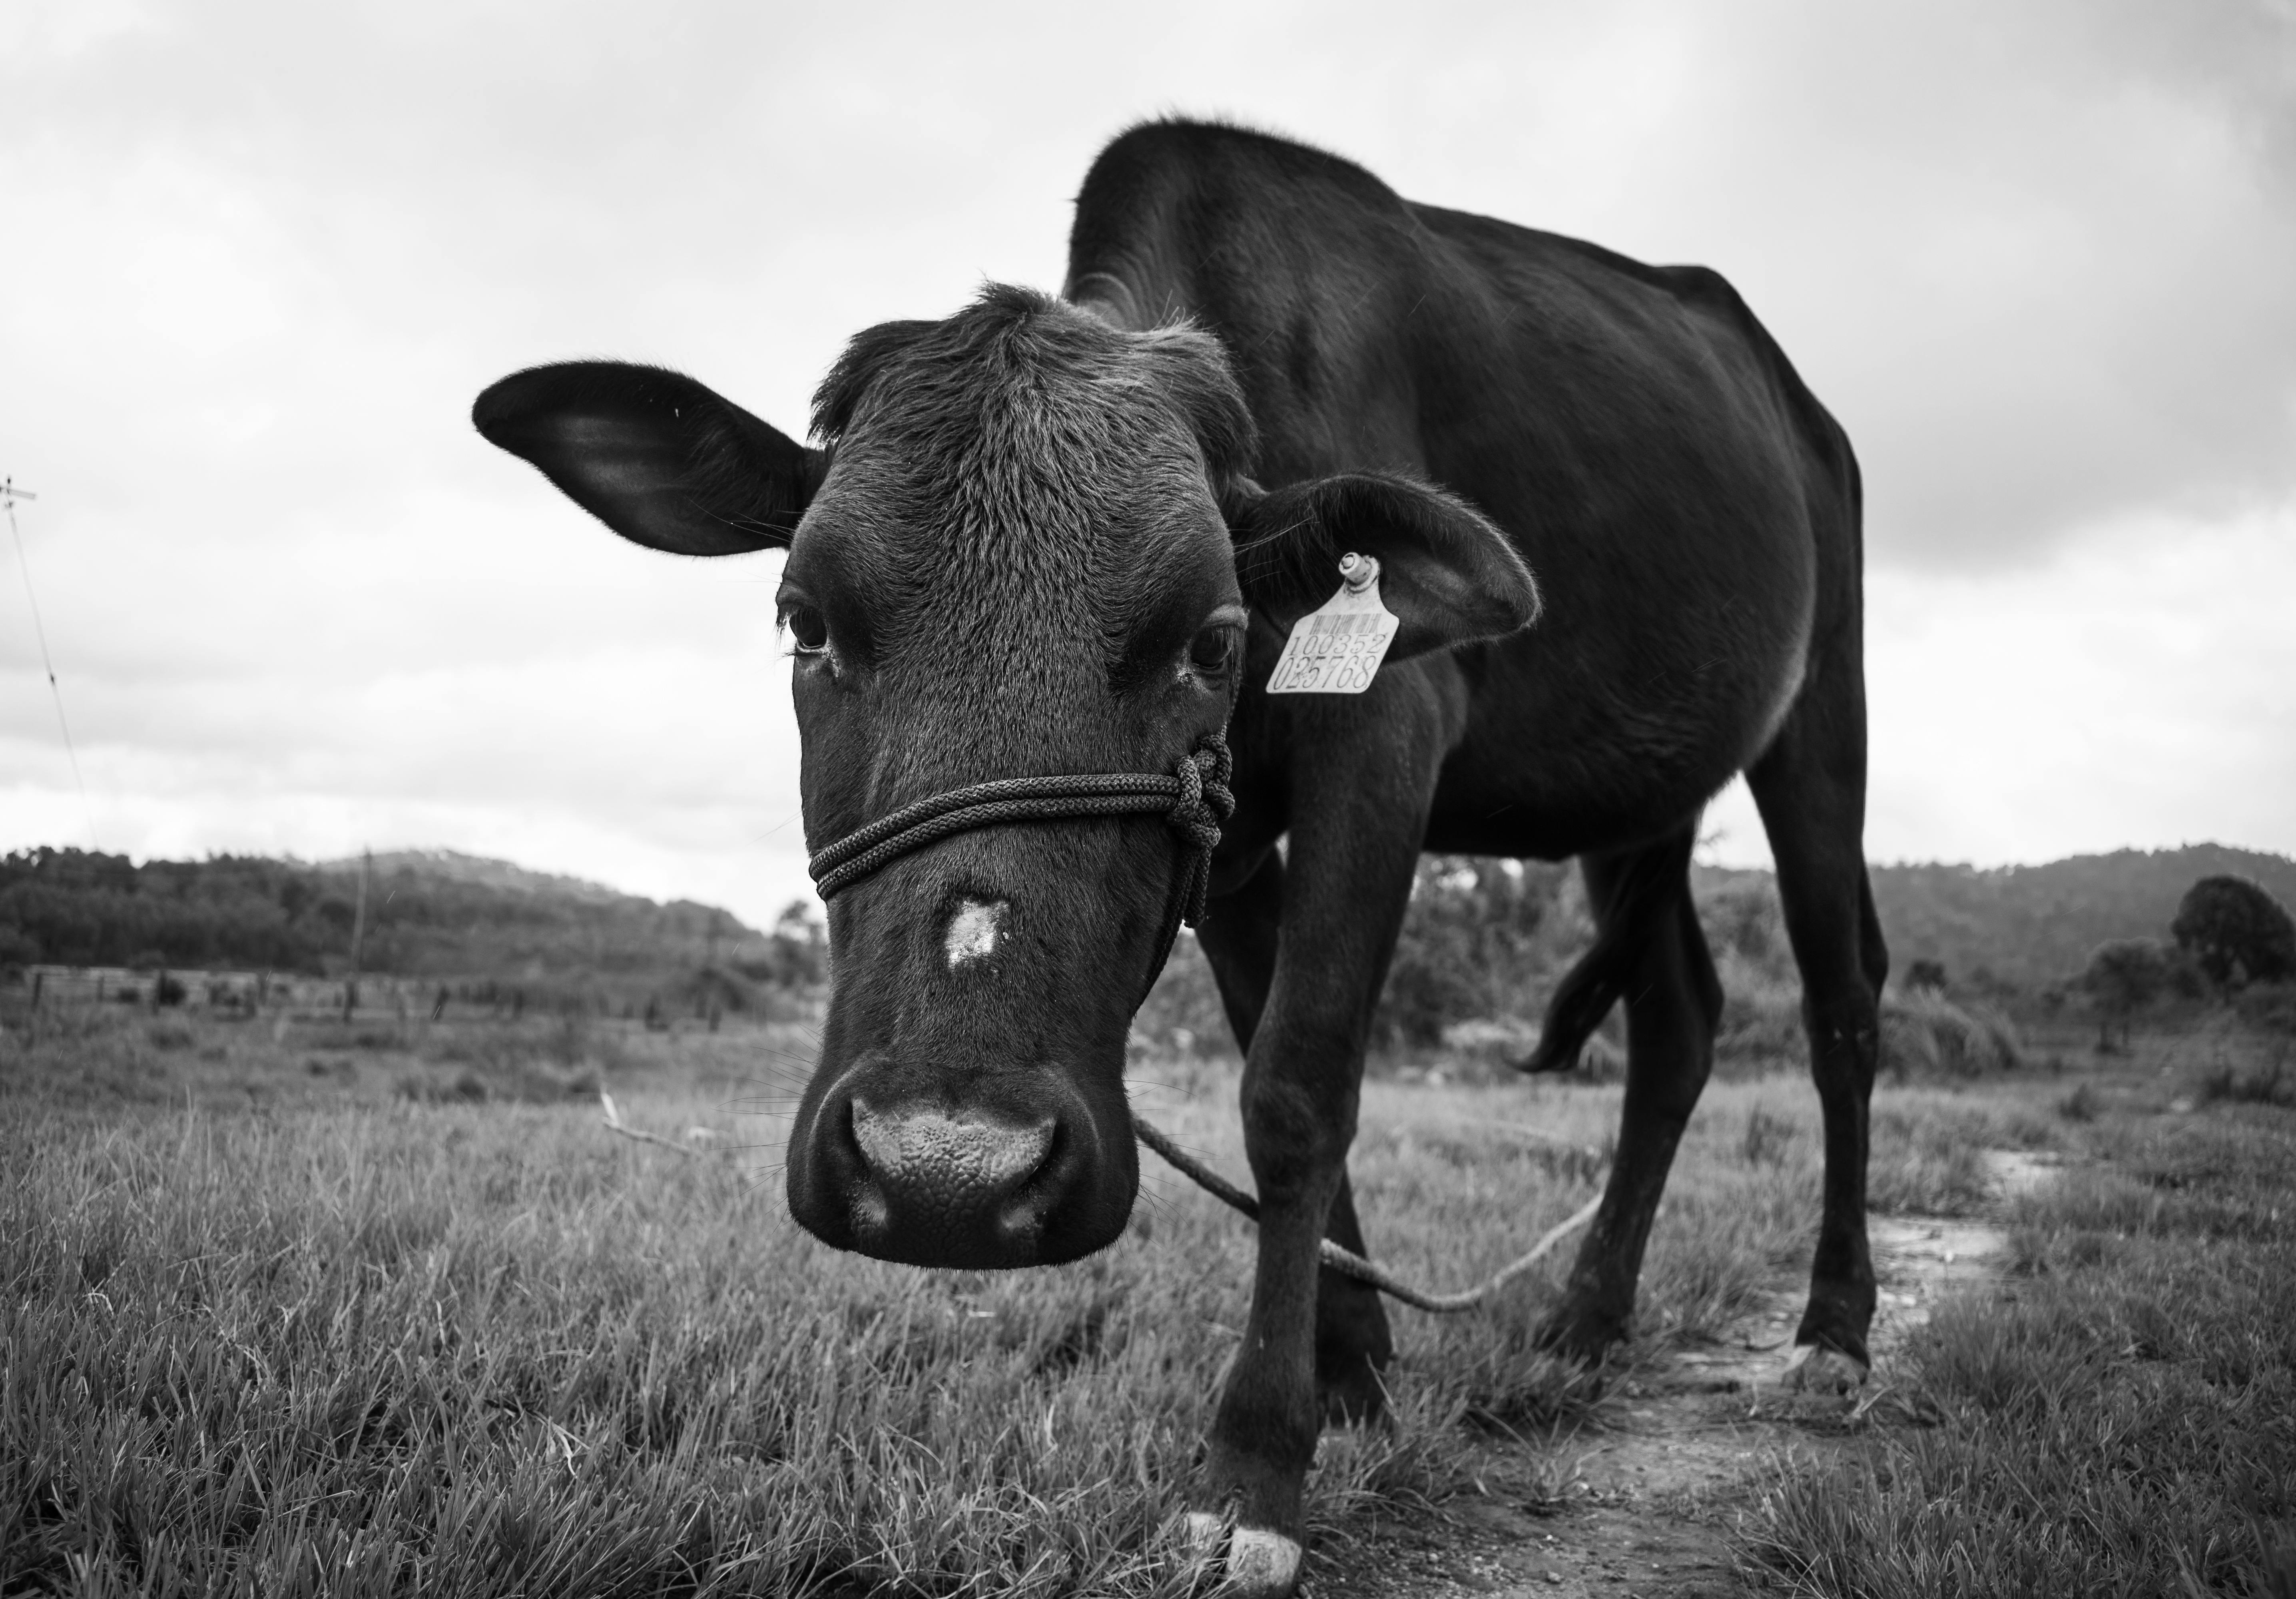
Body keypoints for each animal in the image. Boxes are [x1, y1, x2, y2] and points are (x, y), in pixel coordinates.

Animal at [474, 119, 1883, 1597]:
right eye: (805, 620)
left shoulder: (1385, 737)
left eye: (1209, 638)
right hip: (1637, 805)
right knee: (1679, 1021)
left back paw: (1831, 1333)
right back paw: (1588, 1318)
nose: (943, 1176)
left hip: (1822, 720)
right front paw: (1354, 1377)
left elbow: (1297, 1092)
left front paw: (1257, 1460)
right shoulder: (1238, 857)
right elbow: (1277, 1064)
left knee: (1841, 1005)